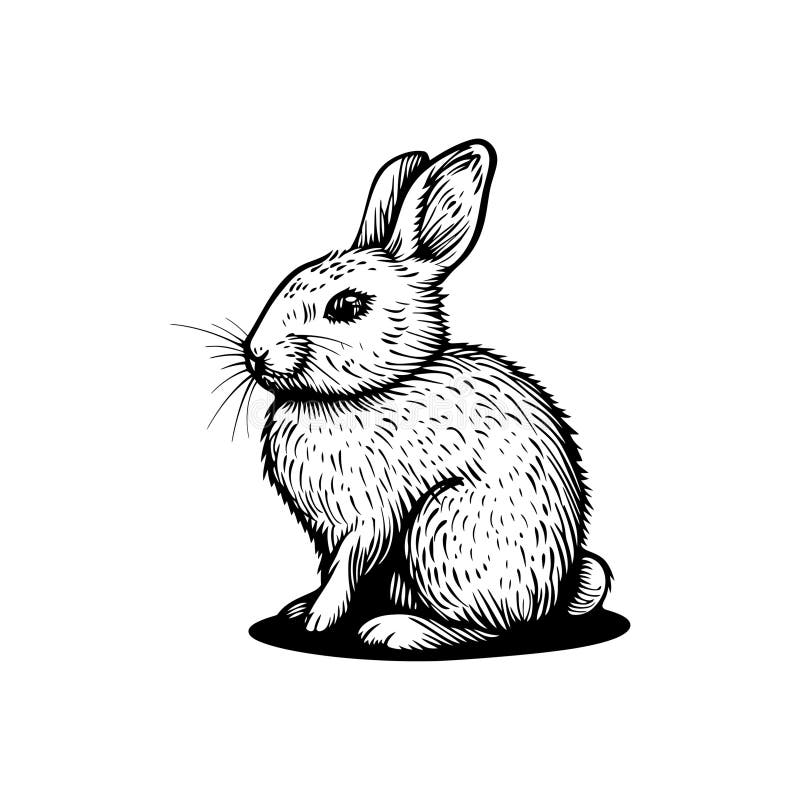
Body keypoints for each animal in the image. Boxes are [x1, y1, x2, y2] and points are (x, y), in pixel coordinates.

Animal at [243, 139, 612, 650]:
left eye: (347, 305)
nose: (256, 354)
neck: (366, 391)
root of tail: (552, 598)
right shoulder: (329, 534)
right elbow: (336, 570)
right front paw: (304, 611)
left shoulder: (373, 515)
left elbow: (347, 568)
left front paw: (318, 621)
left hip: (441, 529)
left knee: (491, 629)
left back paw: (397, 630)